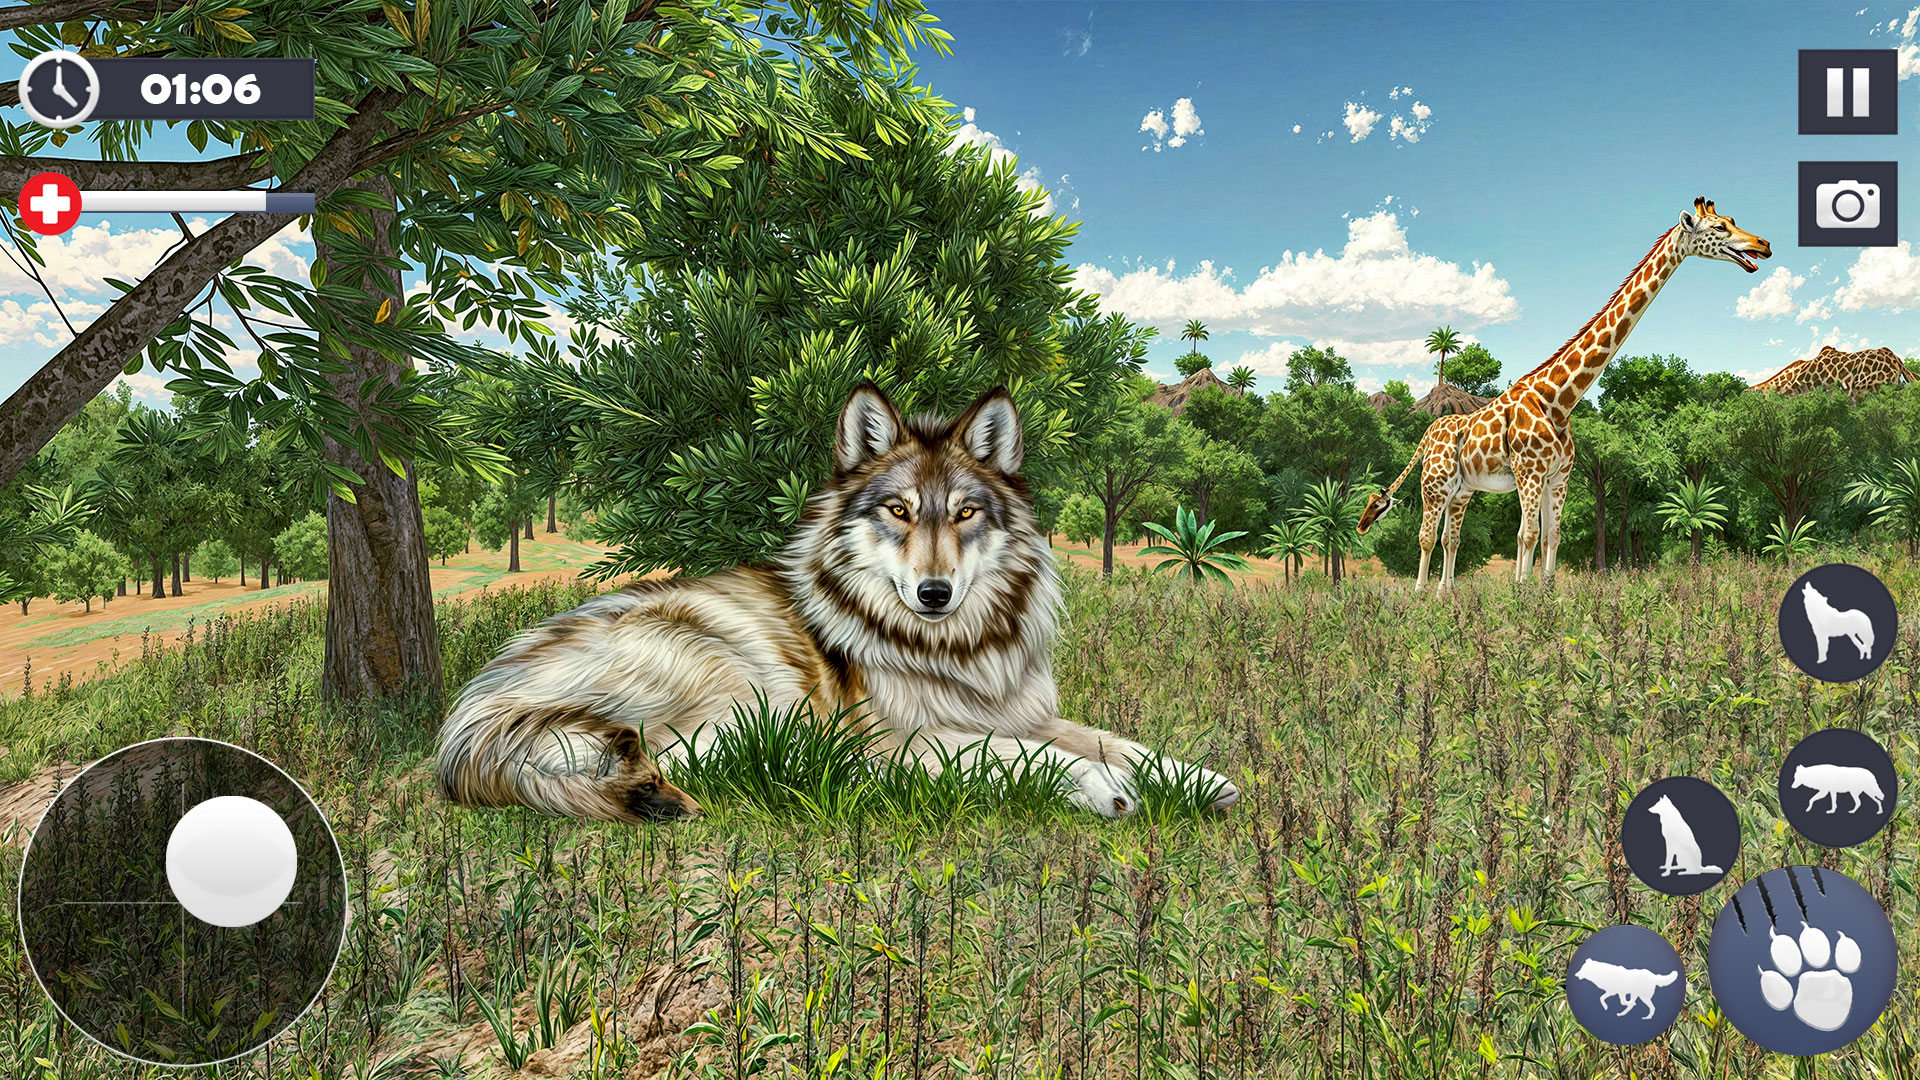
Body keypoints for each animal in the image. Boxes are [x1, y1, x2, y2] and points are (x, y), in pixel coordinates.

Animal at [435, 383, 1242, 823]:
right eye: (899, 511)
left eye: (964, 514)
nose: (934, 592)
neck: (960, 650)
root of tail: (469, 711)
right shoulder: (907, 735)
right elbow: (1024, 753)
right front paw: (1106, 789)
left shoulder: (1025, 710)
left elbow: (1114, 739)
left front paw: (1200, 779)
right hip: (732, 678)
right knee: (715, 759)